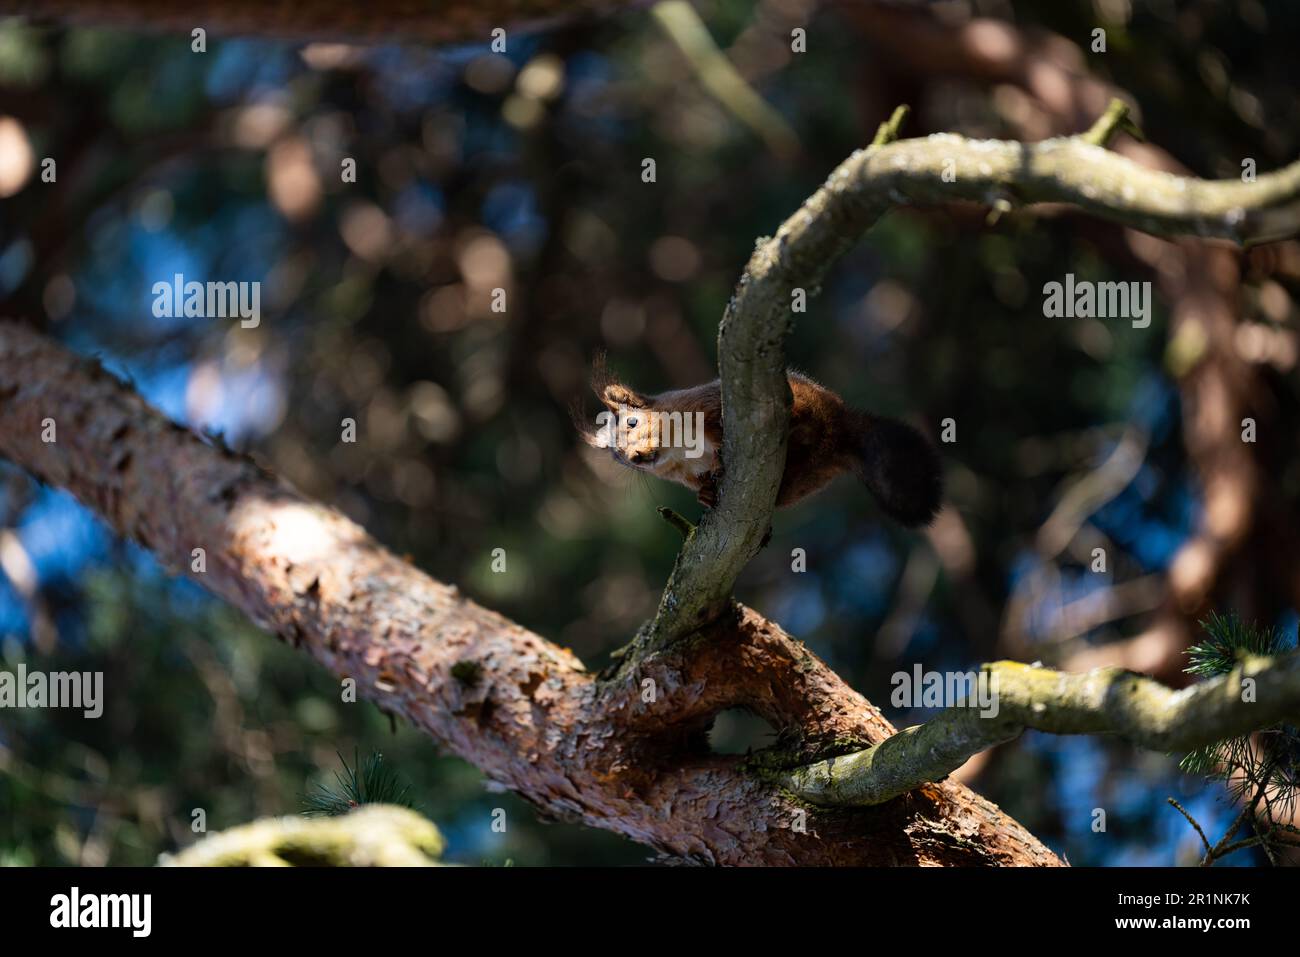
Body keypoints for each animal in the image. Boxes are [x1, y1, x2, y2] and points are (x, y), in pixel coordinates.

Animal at [577, 357, 943, 527]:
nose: (635, 457)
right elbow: (699, 482)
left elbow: (717, 421)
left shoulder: (701, 404)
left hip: (802, 399)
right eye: (617, 457)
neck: (677, 453)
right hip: (807, 475)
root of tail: (841, 422)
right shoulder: (683, 474)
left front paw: (719, 450)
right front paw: (705, 494)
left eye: (633, 421)